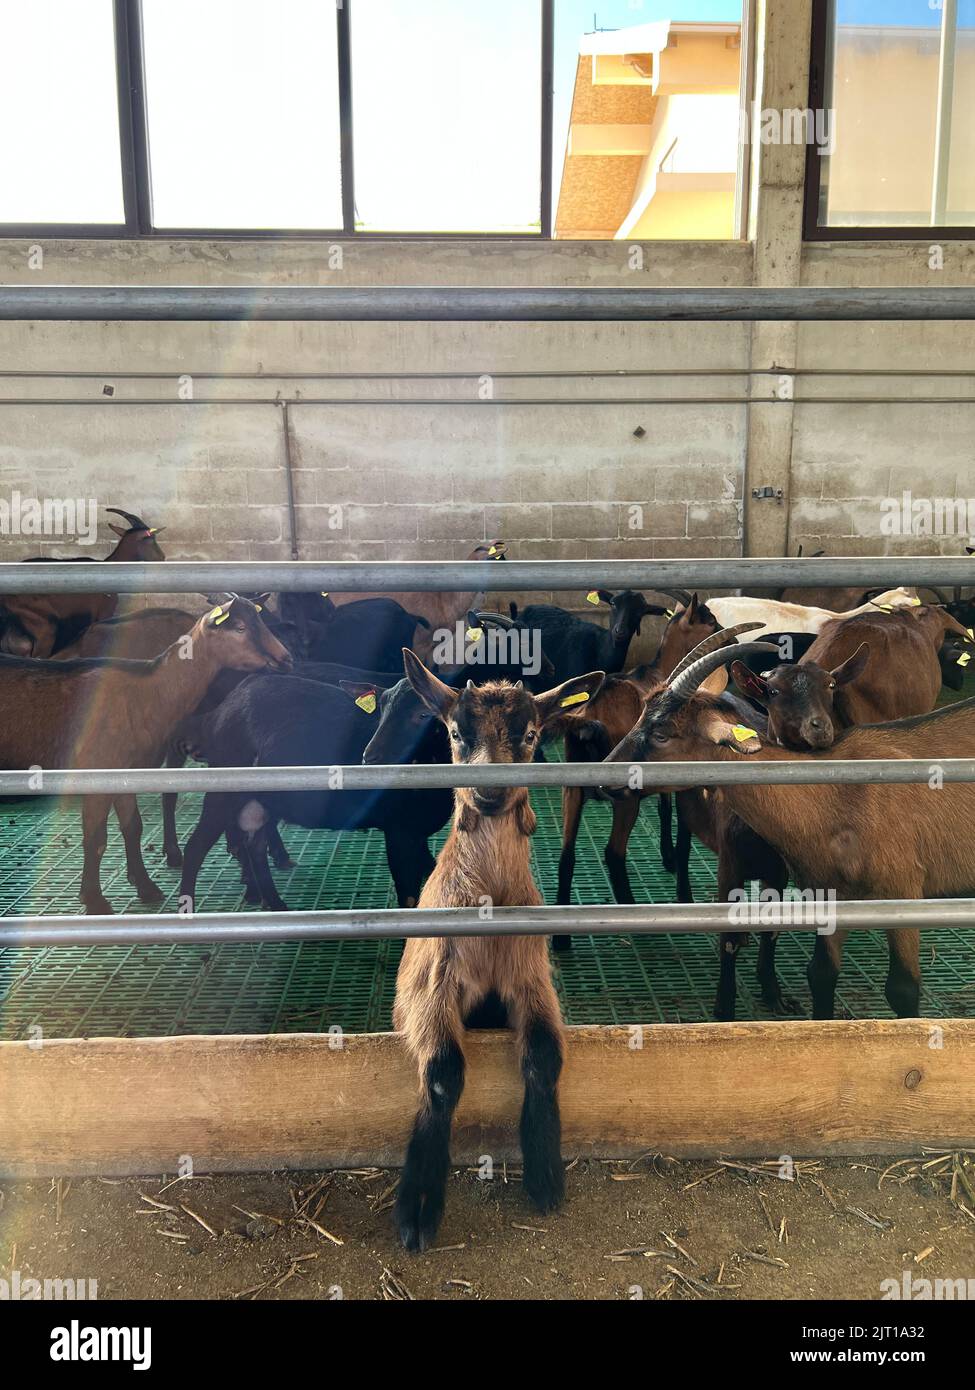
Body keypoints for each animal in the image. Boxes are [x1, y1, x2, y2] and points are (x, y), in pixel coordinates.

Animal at [0, 597, 291, 913]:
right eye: (239, 627)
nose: (286, 659)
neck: (147, 691)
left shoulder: (126, 773)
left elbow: (133, 828)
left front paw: (146, 887)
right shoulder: (97, 771)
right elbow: (95, 838)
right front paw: (94, 900)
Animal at [392, 651, 605, 1251]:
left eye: (530, 734)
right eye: (455, 732)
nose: (488, 791)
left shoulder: (531, 978)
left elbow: (545, 1056)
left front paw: (546, 1175)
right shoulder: (428, 985)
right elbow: (443, 1070)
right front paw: (418, 1207)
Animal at [603, 641, 975, 1020]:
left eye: (661, 733)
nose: (606, 778)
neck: (837, 796)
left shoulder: (904, 892)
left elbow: (902, 989)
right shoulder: (831, 894)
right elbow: (821, 974)